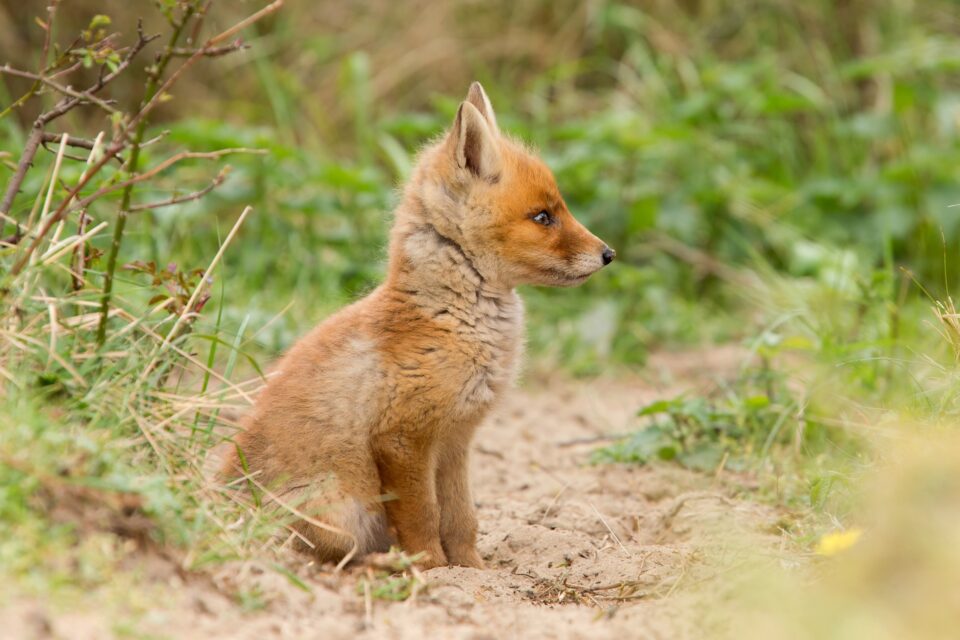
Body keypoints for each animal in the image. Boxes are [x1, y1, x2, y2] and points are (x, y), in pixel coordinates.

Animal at [220, 82, 614, 569]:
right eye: (543, 216)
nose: (609, 253)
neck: (454, 322)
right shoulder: (402, 439)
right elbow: (423, 515)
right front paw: (432, 569)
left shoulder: (456, 440)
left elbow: (462, 518)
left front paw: (474, 570)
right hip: (339, 509)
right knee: (318, 552)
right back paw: (381, 564)